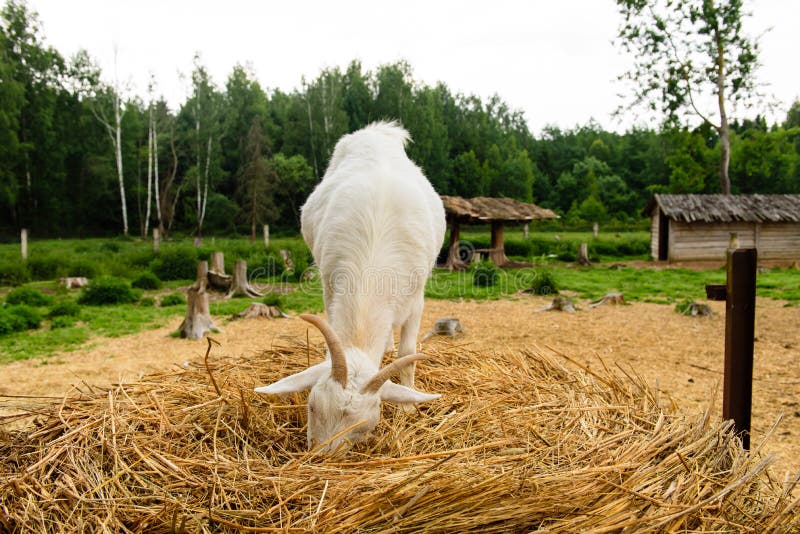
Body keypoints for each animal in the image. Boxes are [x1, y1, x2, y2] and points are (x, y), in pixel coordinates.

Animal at [255, 121, 446, 452]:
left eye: (365, 428)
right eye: (312, 406)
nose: (319, 457)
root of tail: (378, 131)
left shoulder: (416, 297)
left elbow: (408, 353)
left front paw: (408, 408)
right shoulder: (329, 288)